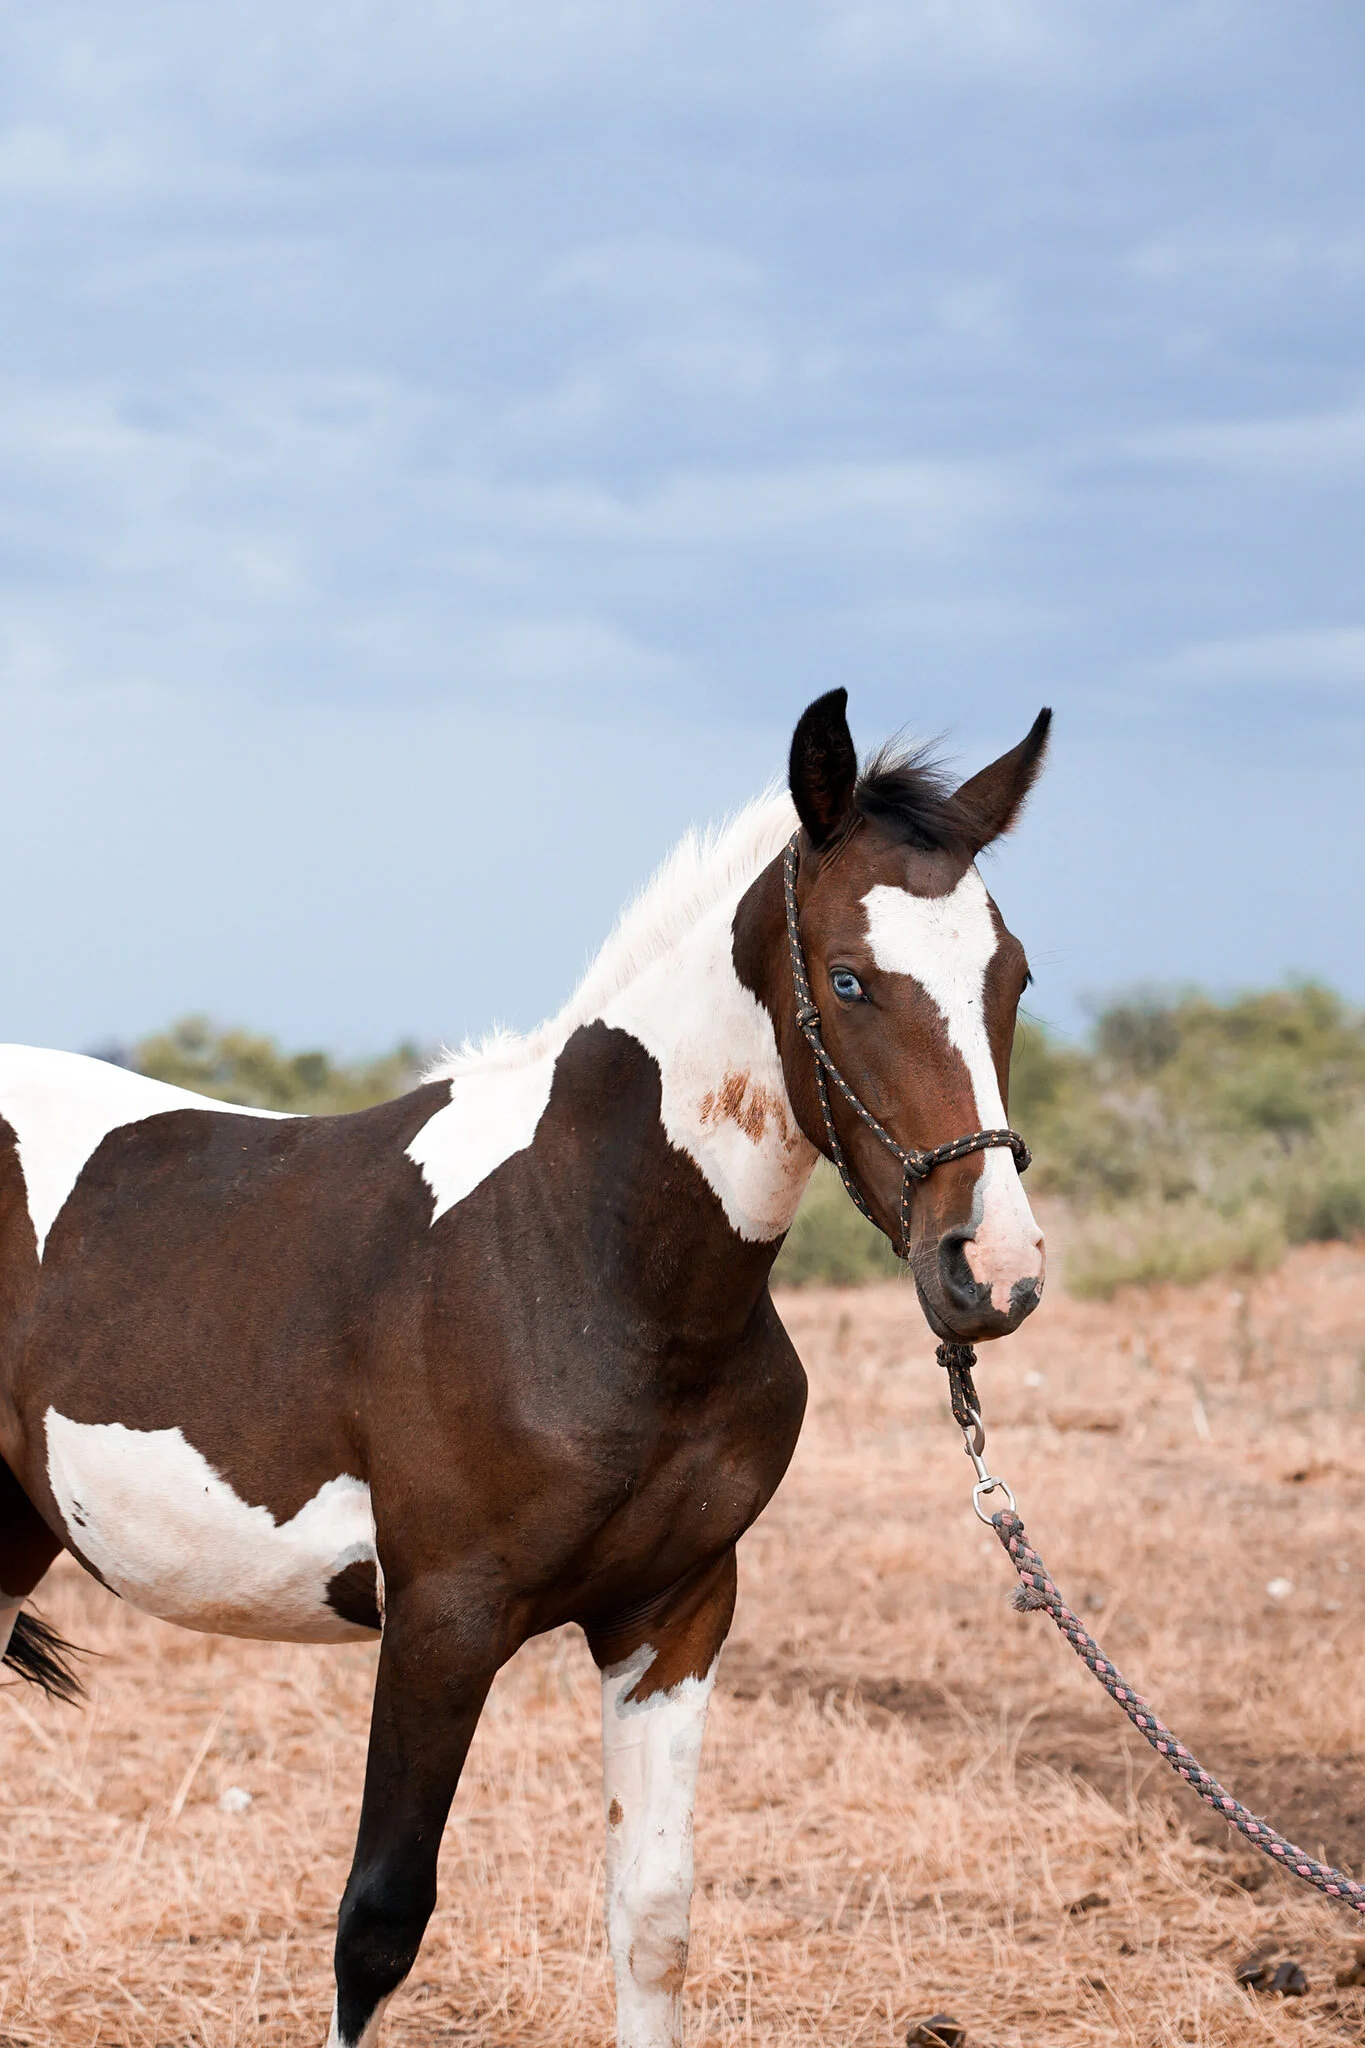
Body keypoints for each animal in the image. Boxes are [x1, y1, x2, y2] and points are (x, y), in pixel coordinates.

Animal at [0, 689, 1049, 2048]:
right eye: (851, 977)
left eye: (1013, 974)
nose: (994, 1271)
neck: (575, 1250)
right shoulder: (441, 1619)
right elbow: (377, 1921)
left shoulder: (676, 1614)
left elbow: (652, 1914)